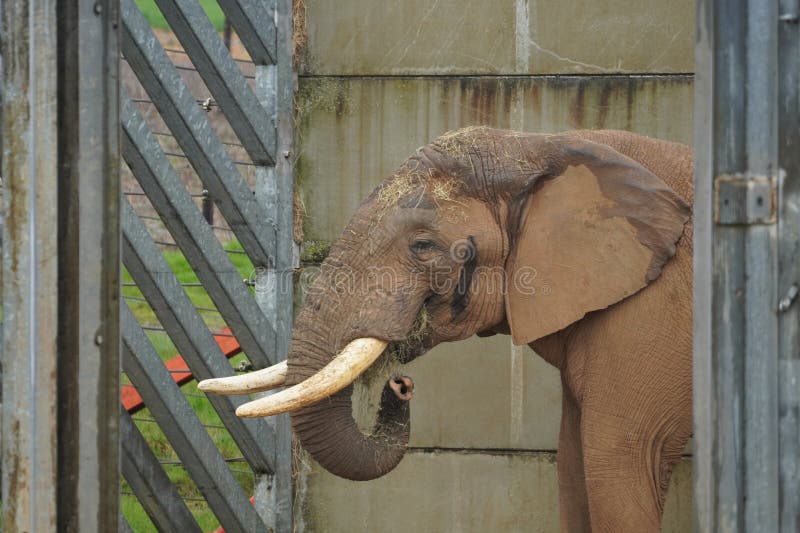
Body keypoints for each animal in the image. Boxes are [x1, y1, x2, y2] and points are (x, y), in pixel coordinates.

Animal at [200, 127, 694, 532]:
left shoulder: (651, 313)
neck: (542, 146)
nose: (400, 386)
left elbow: (622, 456)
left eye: (423, 246)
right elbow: (573, 464)